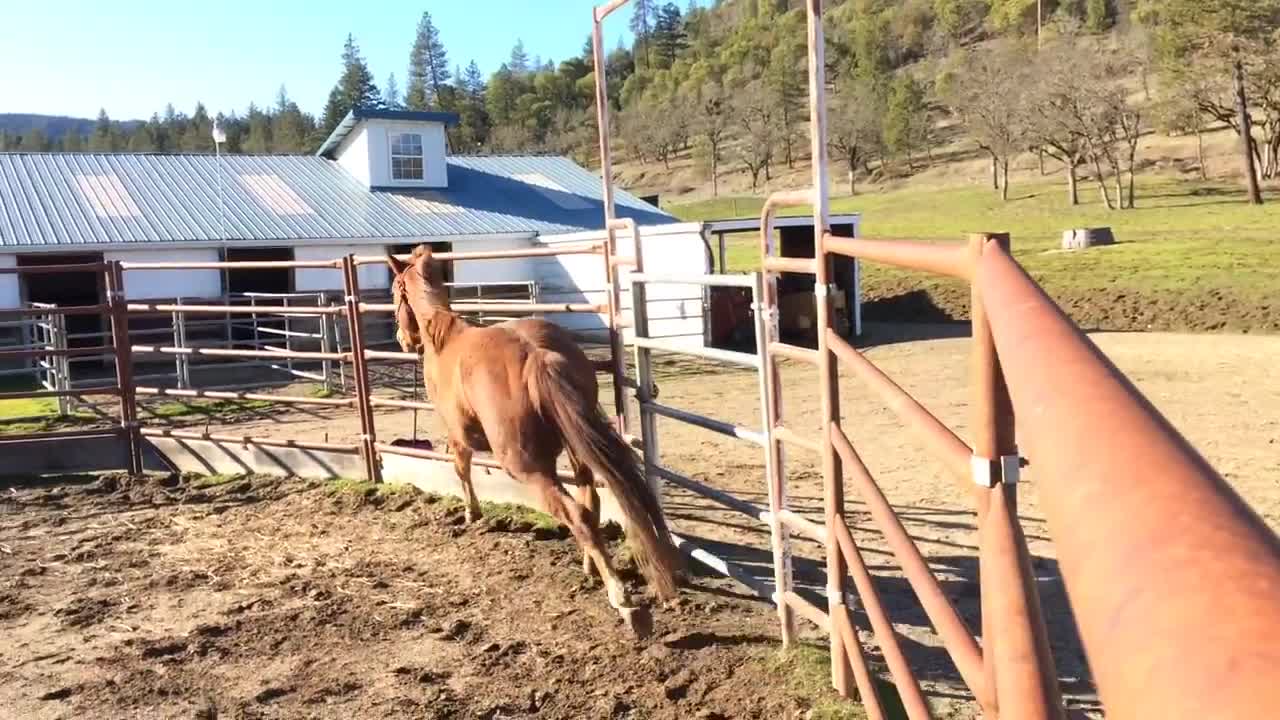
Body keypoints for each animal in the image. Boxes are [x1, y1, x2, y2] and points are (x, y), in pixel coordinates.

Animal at [386, 245, 681, 637]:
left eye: (394, 290)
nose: (404, 340)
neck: (444, 338)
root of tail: (537, 355)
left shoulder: (456, 435)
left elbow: (461, 470)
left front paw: (471, 513)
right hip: (576, 450)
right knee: (589, 504)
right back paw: (591, 567)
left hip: (528, 467)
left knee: (576, 514)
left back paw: (624, 602)